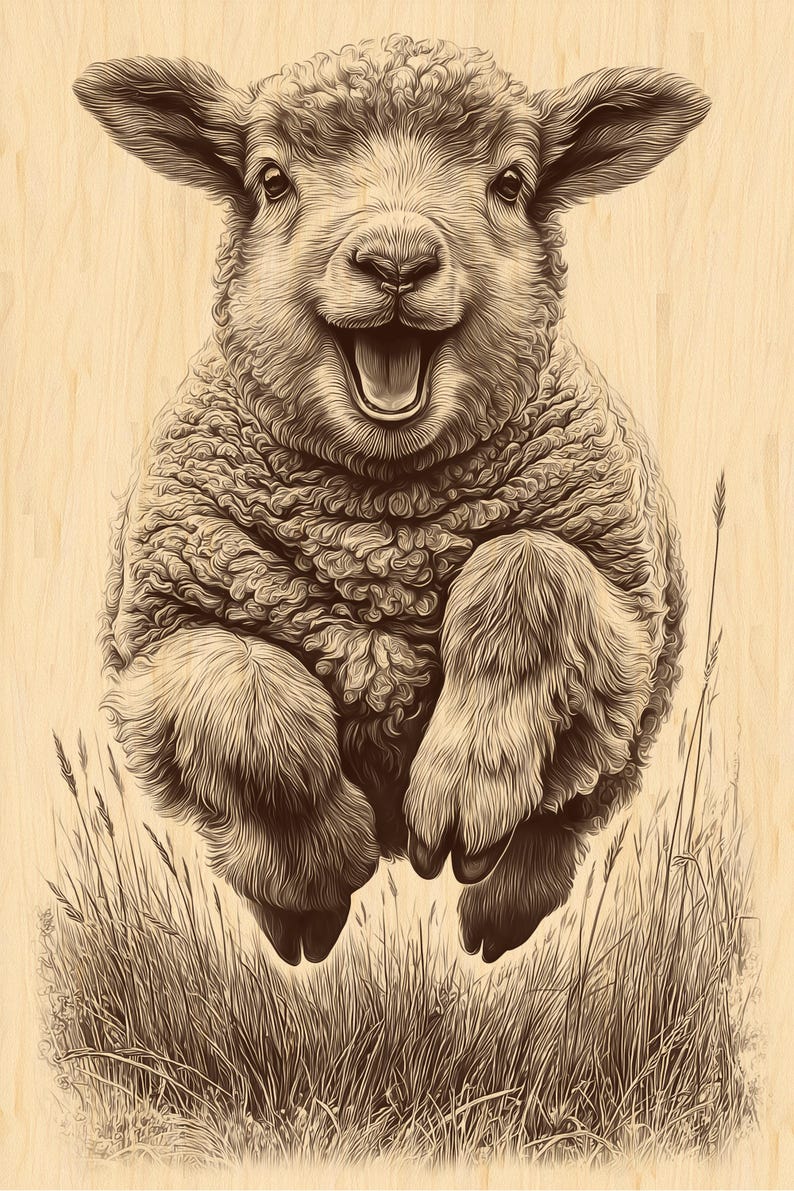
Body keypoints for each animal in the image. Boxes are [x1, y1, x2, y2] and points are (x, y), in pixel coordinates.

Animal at [74, 35, 708, 964]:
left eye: (510, 182)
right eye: (272, 179)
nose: (398, 260)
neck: (385, 528)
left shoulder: (623, 614)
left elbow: (529, 574)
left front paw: (462, 795)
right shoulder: (163, 626)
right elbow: (240, 700)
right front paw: (317, 874)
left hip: (629, 721)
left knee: (563, 819)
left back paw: (496, 914)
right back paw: (298, 923)